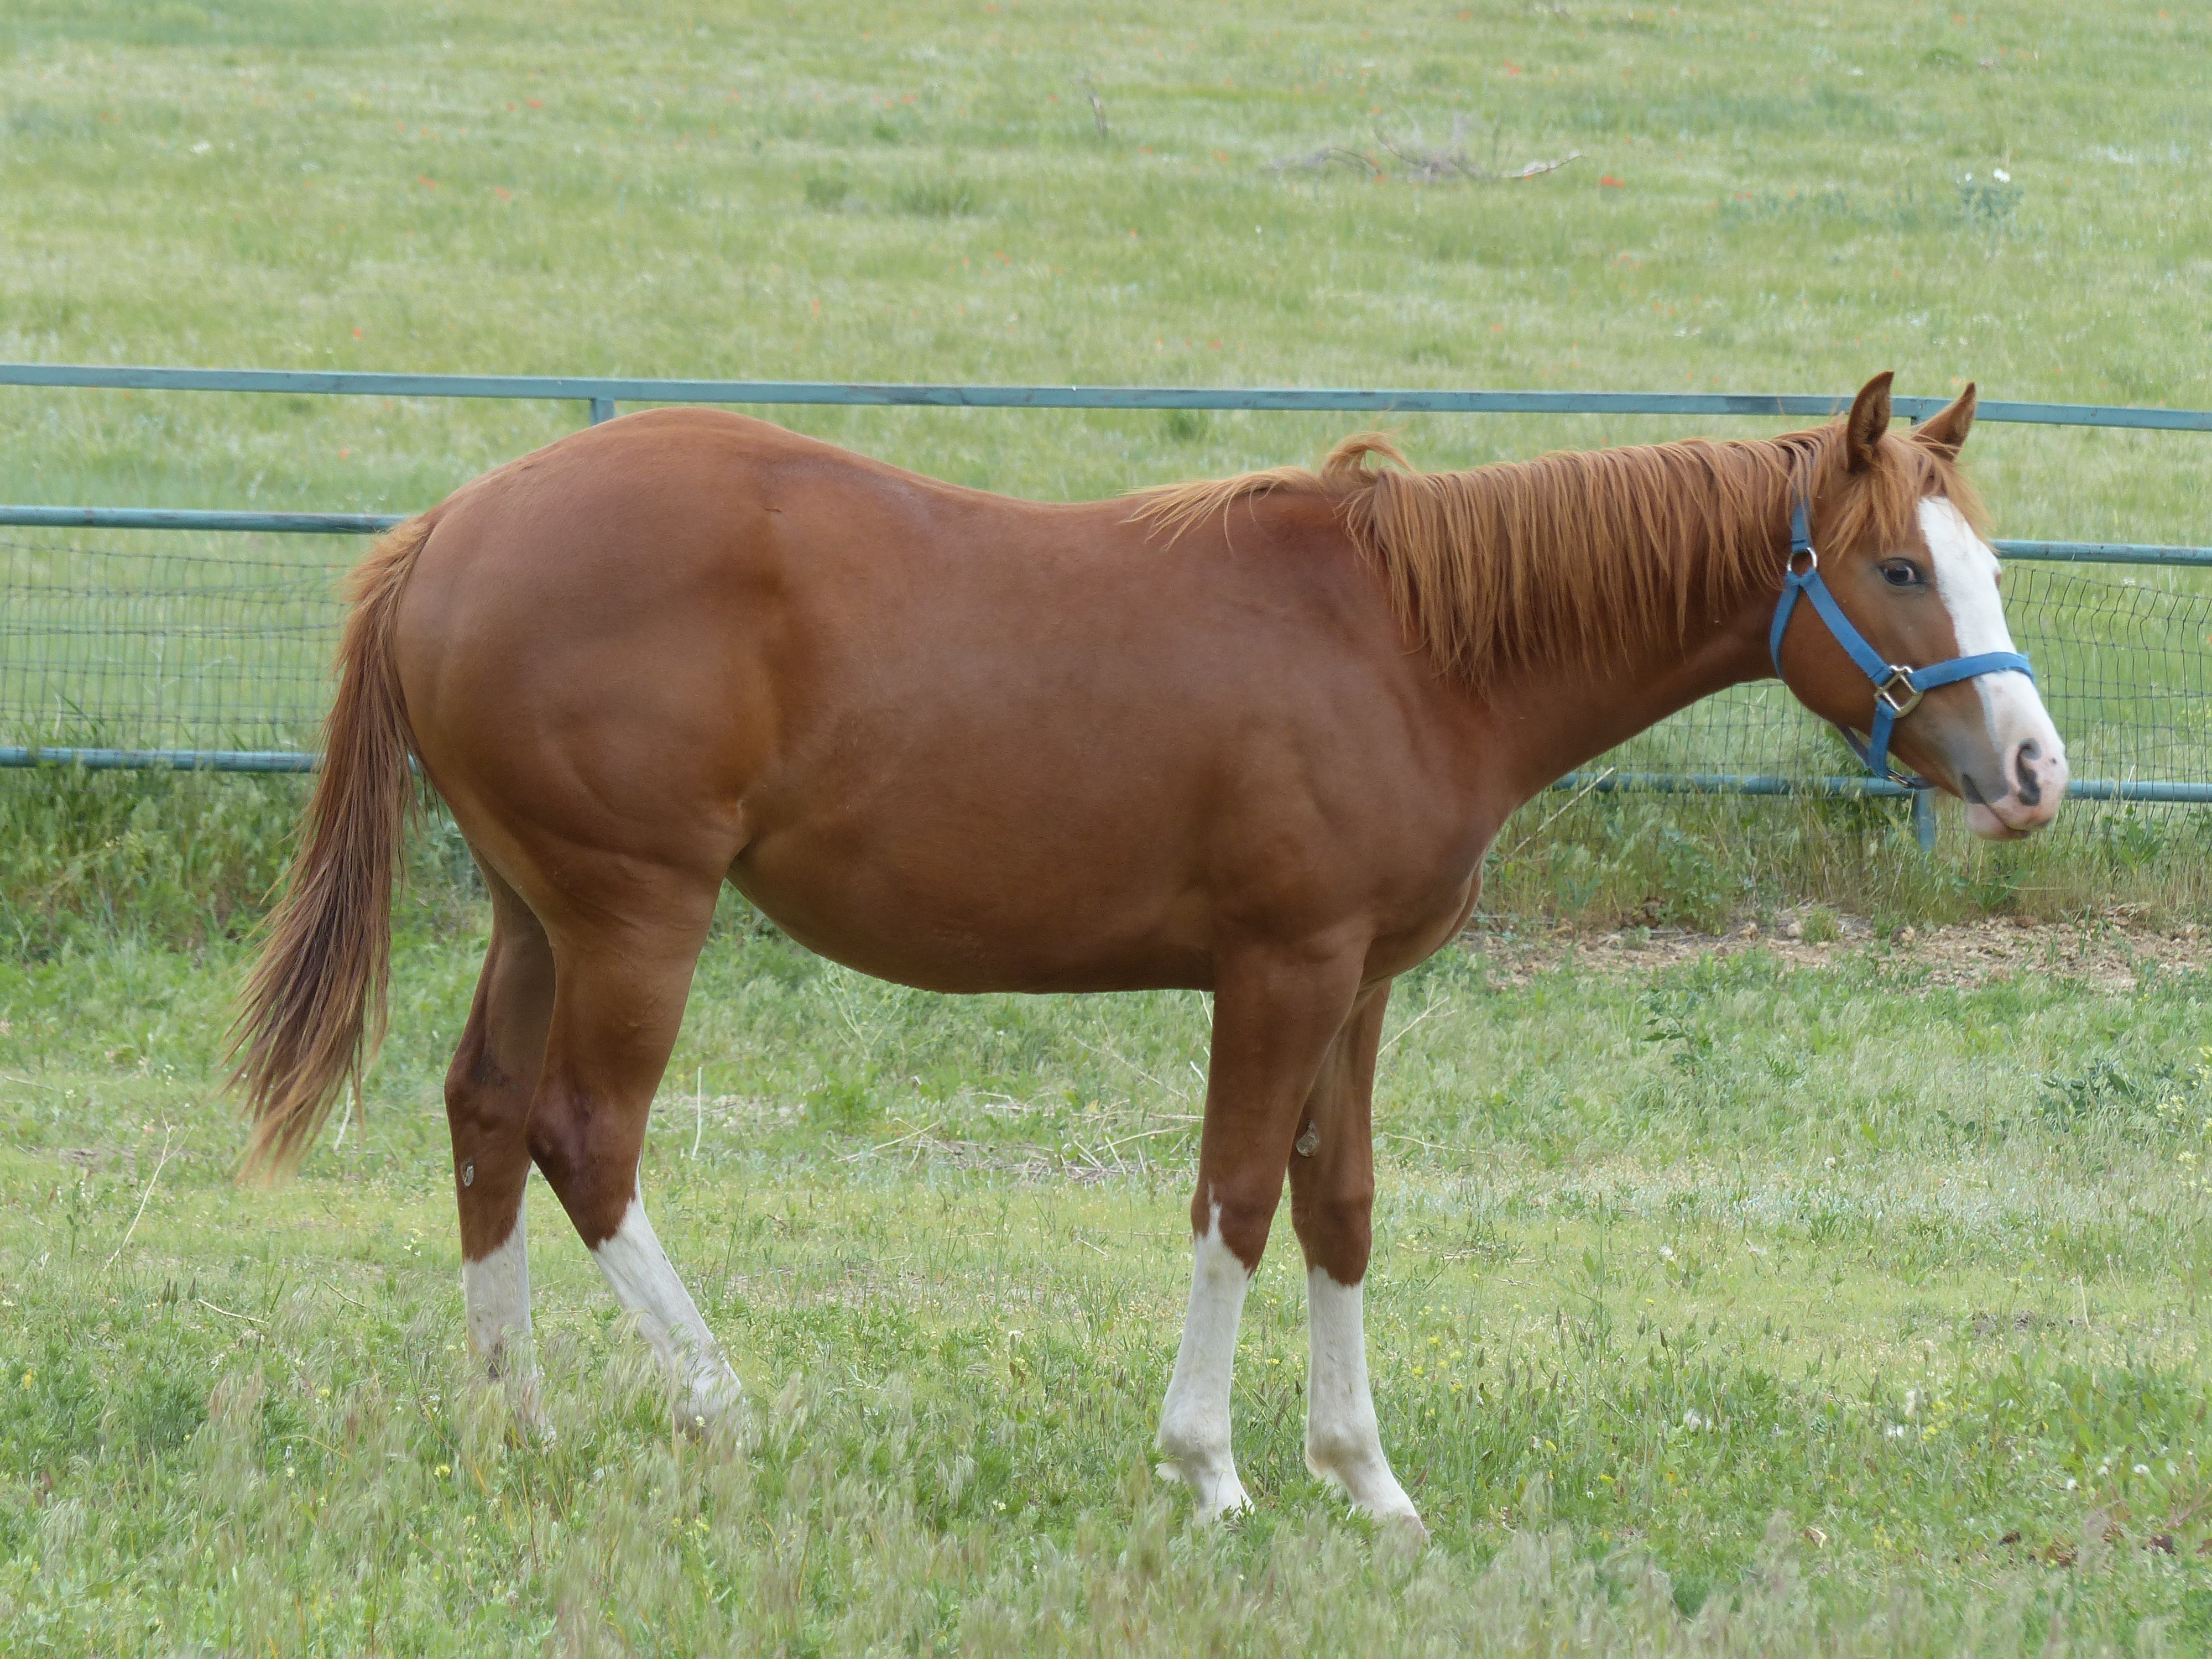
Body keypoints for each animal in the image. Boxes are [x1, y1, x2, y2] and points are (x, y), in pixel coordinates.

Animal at [234, 370, 2064, 1537]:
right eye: (1898, 566)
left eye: (1985, 560)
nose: (2036, 771)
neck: (1414, 649)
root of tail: (449, 531)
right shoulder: (1281, 969)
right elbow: (1237, 1200)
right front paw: (1213, 1471)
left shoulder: (1362, 983)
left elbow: (1340, 1207)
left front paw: (1368, 1481)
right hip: (638, 914)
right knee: (585, 1138)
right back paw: (722, 1407)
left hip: (539, 909)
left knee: (485, 1114)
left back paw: (514, 1418)